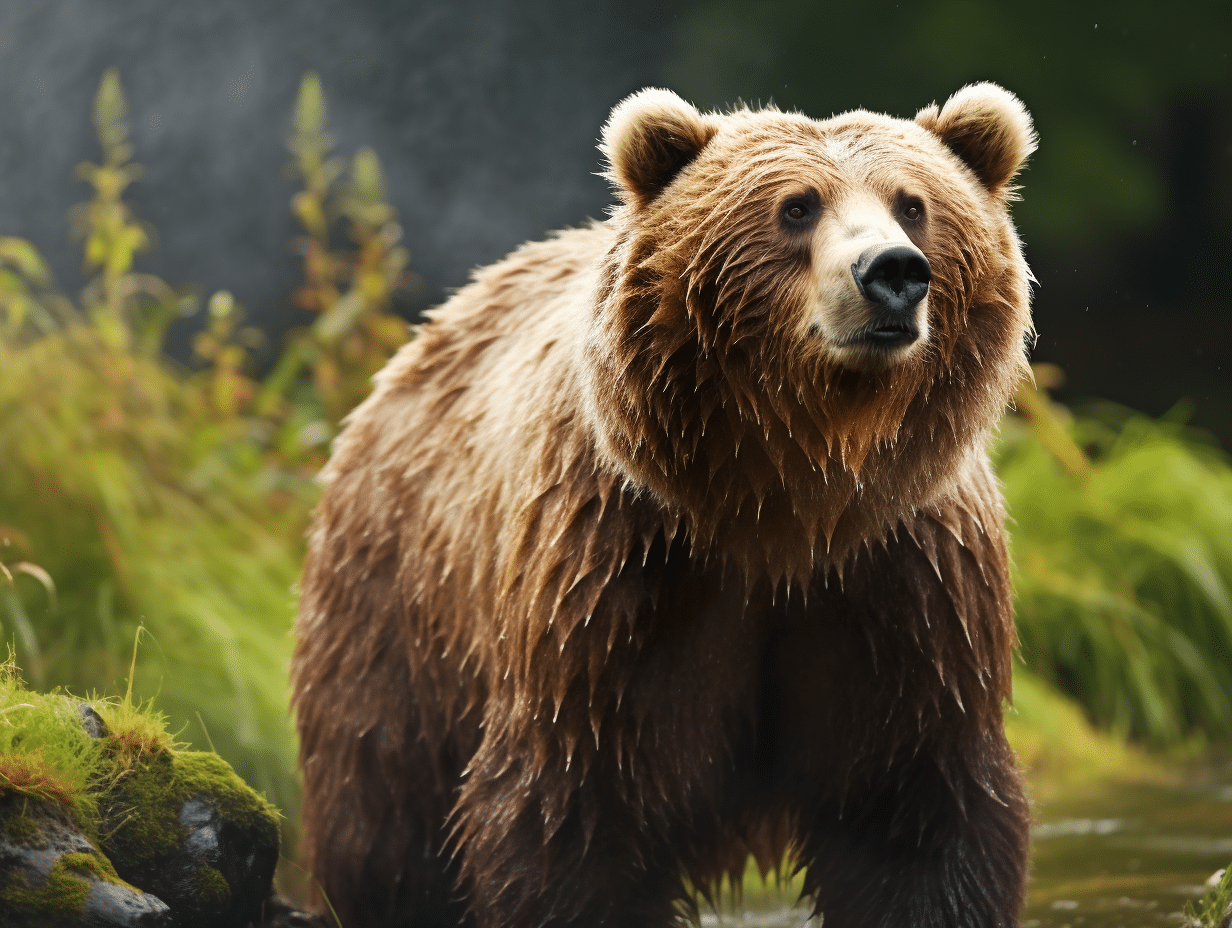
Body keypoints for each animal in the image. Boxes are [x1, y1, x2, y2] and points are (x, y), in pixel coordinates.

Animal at [291, 82, 1037, 928]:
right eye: (797, 206)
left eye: (914, 204)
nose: (893, 272)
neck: (790, 500)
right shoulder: (616, 575)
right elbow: (573, 811)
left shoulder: (903, 580)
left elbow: (918, 813)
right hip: (401, 620)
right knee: (384, 819)